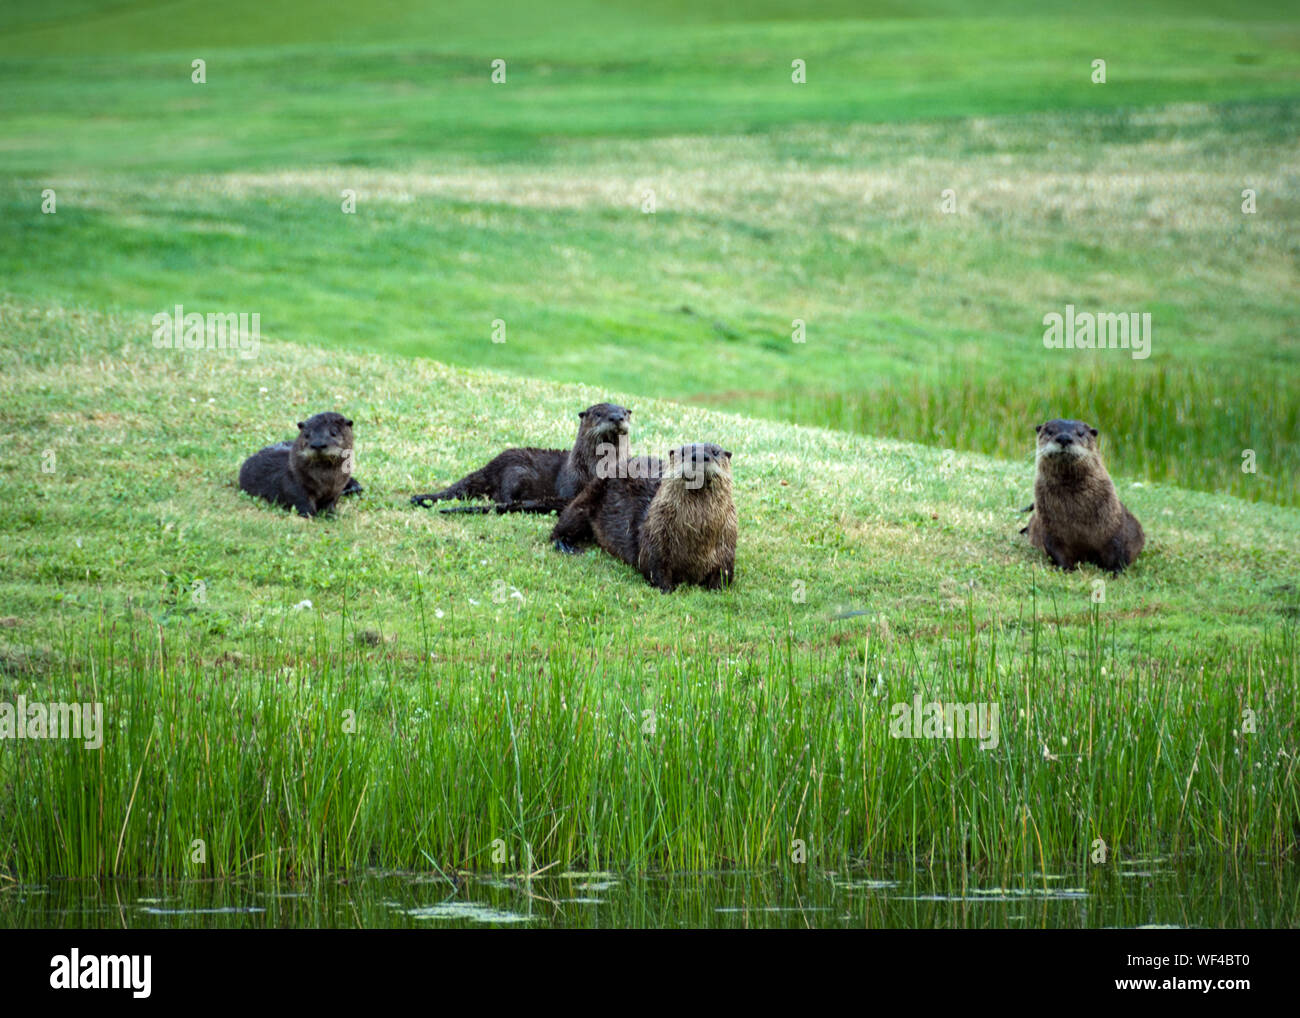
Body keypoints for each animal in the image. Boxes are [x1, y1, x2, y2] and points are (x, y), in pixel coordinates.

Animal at [411, 403, 631, 510]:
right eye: (599, 414)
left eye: (625, 413)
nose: (616, 417)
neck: (594, 468)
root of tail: (491, 465)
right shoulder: (571, 483)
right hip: (517, 470)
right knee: (502, 494)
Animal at [551, 443, 736, 592]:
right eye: (683, 452)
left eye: (715, 452)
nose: (699, 456)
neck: (696, 540)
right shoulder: (655, 538)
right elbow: (653, 568)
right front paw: (666, 589)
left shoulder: (727, 546)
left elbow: (725, 575)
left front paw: (716, 590)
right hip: (589, 497)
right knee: (565, 522)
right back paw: (564, 544)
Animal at [1025, 419, 1144, 573]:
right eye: (1050, 431)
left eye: (1080, 433)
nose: (1064, 438)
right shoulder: (1050, 531)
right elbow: (1057, 552)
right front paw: (1066, 569)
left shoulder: (1115, 527)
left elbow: (1118, 551)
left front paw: (1115, 572)